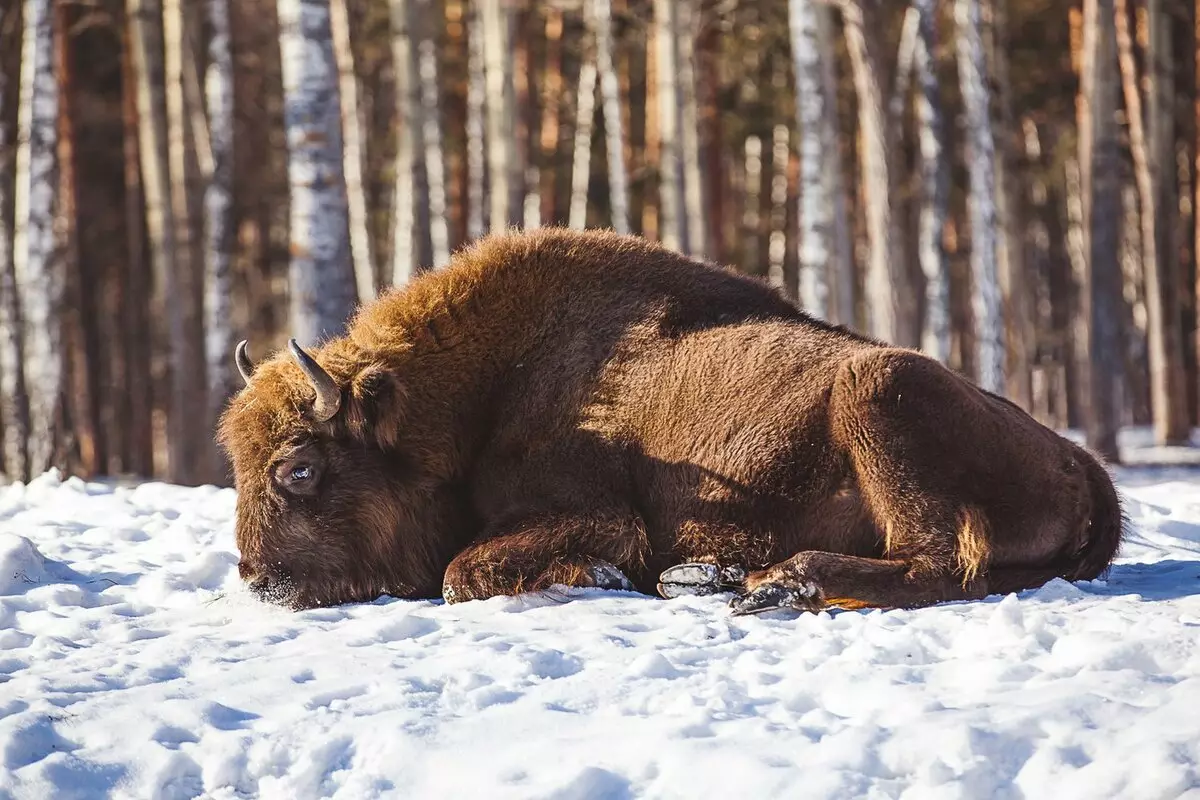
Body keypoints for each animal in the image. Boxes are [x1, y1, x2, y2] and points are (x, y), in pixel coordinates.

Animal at [218, 227, 1123, 618]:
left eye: (298, 467)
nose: (257, 580)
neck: (476, 394)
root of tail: (1079, 459)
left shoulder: (599, 514)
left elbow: (459, 573)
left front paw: (608, 578)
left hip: (880, 392)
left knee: (940, 565)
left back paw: (771, 586)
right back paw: (710, 576)